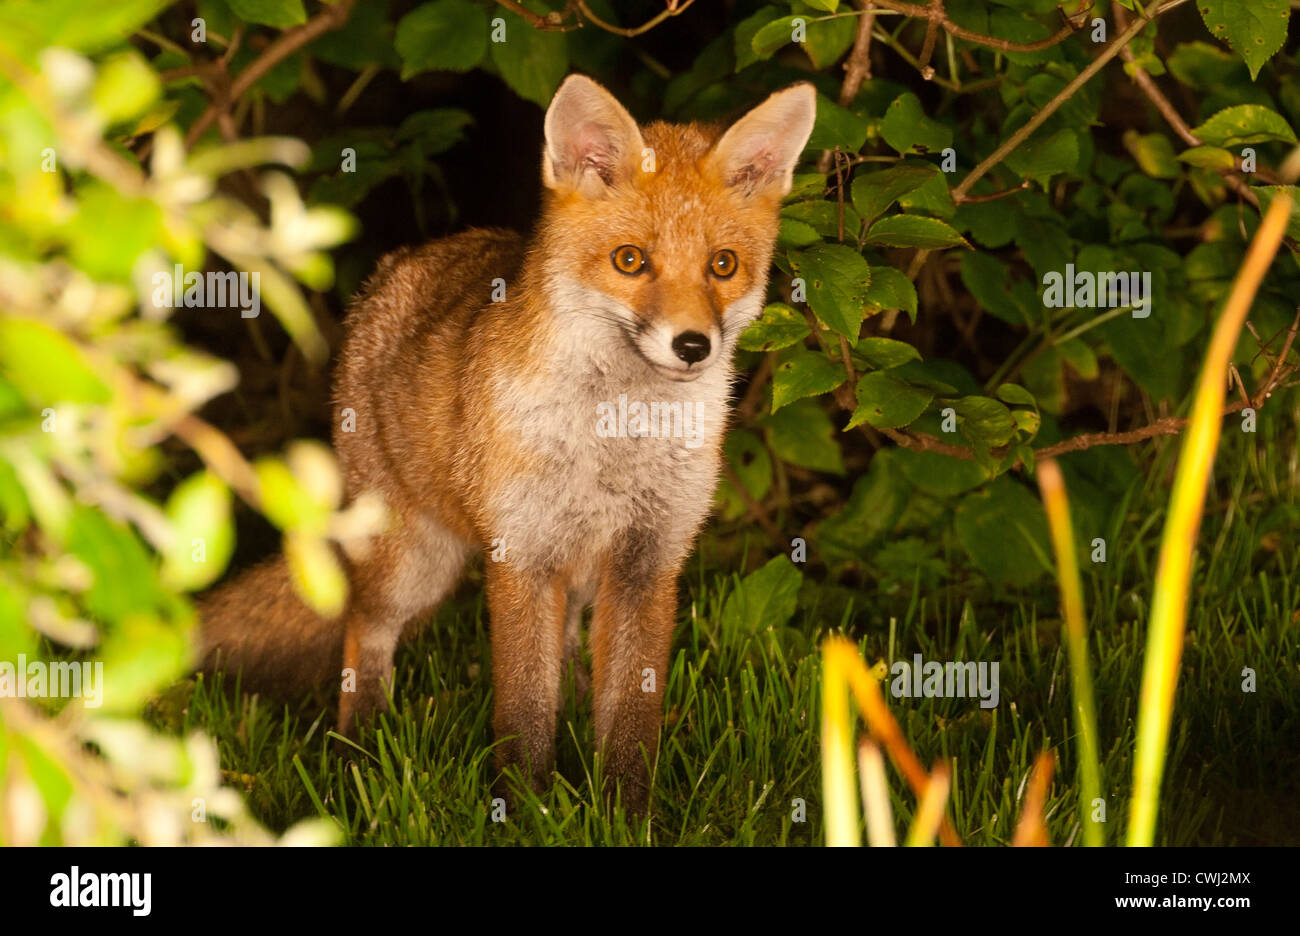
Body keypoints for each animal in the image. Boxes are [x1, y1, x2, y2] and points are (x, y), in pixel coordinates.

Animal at [198, 74, 817, 812]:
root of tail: (400, 264)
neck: (615, 439)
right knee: (365, 631)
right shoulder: (519, 555)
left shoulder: (649, 558)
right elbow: (522, 709)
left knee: (570, 650)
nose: (694, 346)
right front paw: (526, 810)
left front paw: (624, 813)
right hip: (417, 561)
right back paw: (359, 753)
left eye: (723, 266)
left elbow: (630, 714)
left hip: (566, 572)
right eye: (630, 261)